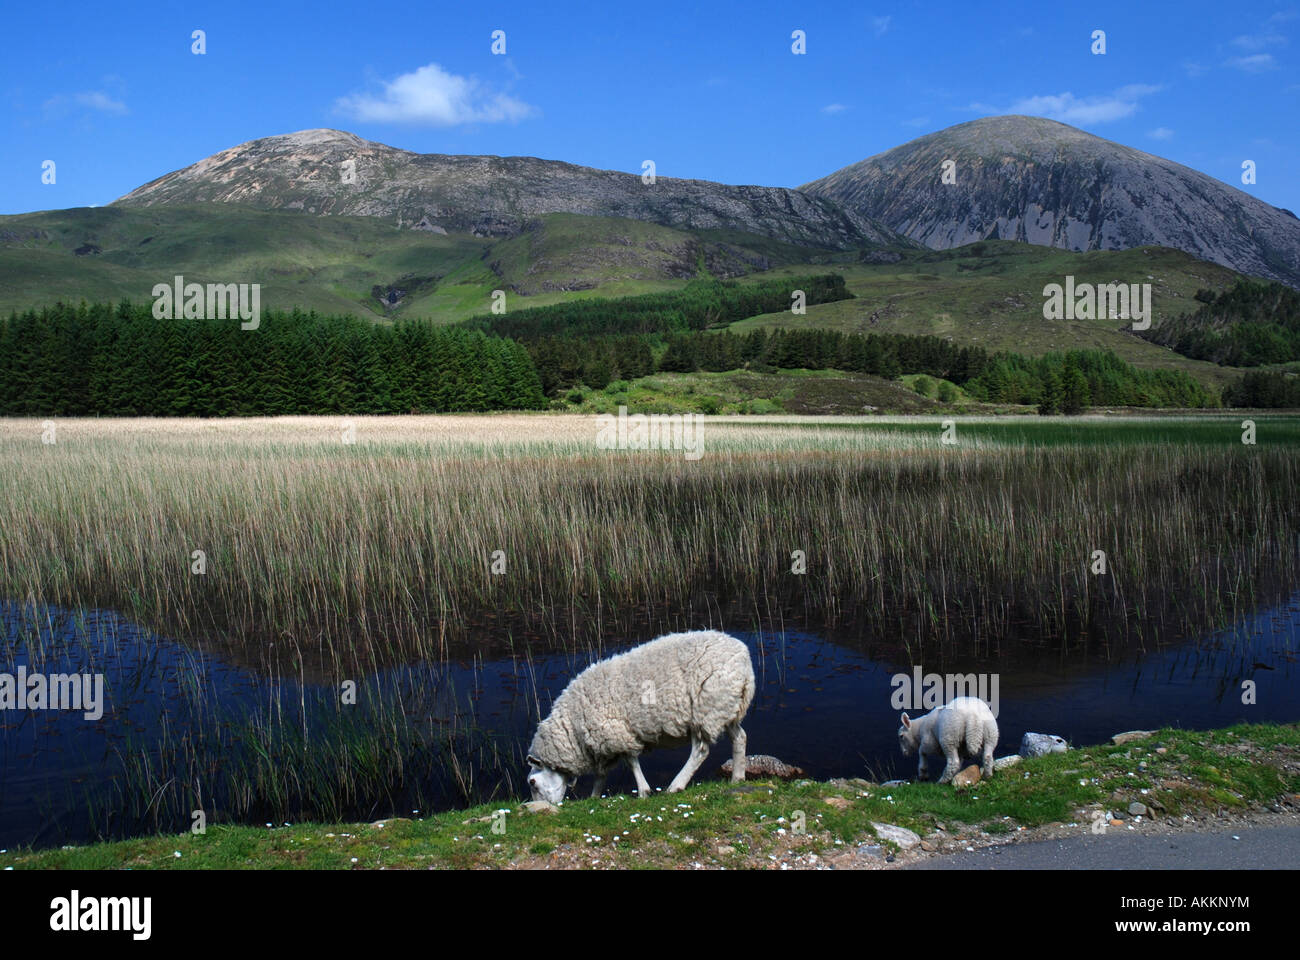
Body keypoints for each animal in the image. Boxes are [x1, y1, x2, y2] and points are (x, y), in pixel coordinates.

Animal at [526, 630, 755, 803]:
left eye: (532, 783)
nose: (543, 809)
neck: (572, 729)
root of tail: (744, 661)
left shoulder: (617, 734)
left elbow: (631, 762)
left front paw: (644, 791)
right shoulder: (604, 744)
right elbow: (601, 774)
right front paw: (594, 797)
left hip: (706, 709)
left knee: (700, 750)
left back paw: (676, 785)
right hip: (726, 706)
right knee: (740, 737)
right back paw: (737, 777)